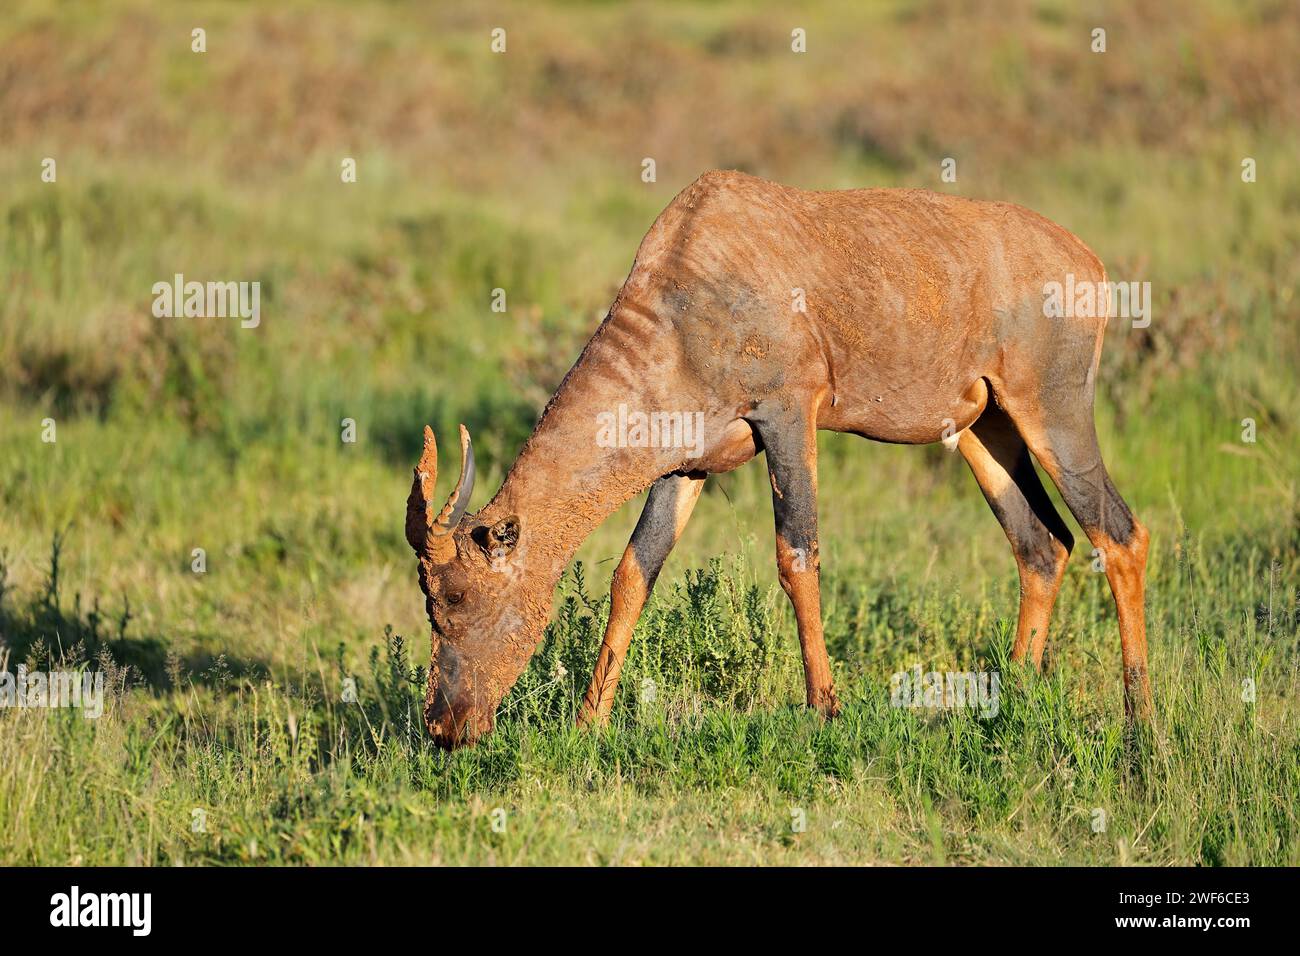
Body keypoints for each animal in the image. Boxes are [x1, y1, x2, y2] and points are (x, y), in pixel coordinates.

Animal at [406, 170, 1151, 749]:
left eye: (457, 597)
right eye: (431, 599)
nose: (445, 729)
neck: (694, 270)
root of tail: (1090, 264)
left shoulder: (789, 416)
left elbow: (797, 554)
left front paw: (825, 710)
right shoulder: (686, 464)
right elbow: (633, 573)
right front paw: (590, 723)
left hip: (1054, 413)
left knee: (1119, 534)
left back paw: (1140, 721)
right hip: (984, 428)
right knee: (1042, 544)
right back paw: (1011, 700)